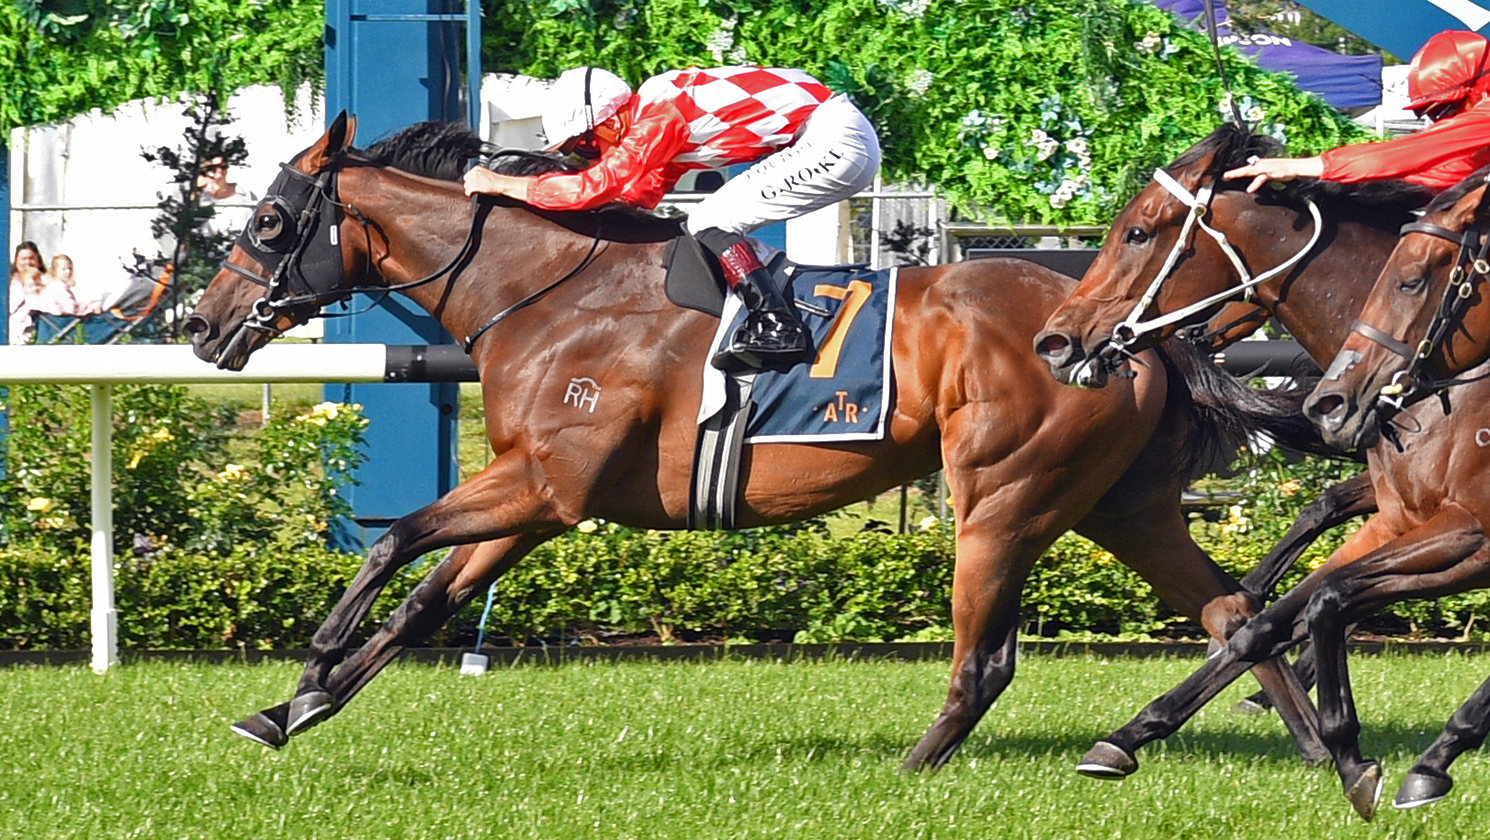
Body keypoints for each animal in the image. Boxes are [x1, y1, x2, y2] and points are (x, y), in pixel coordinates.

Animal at [184, 113, 1329, 773]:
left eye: (272, 223)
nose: (201, 323)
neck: (544, 293)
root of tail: (1122, 329)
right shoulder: (537, 494)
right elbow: (422, 600)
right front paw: (289, 711)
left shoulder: (546, 487)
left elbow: (391, 541)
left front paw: (314, 655)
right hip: (1117, 502)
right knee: (1233, 614)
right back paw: (1313, 753)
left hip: (1006, 494)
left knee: (987, 657)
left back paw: (910, 769)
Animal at [1034, 122, 1490, 818]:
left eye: (1138, 232)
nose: (1055, 342)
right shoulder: (1401, 515)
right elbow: (1282, 608)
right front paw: (1132, 734)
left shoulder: (1466, 529)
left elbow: (1321, 596)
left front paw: (1401, 756)